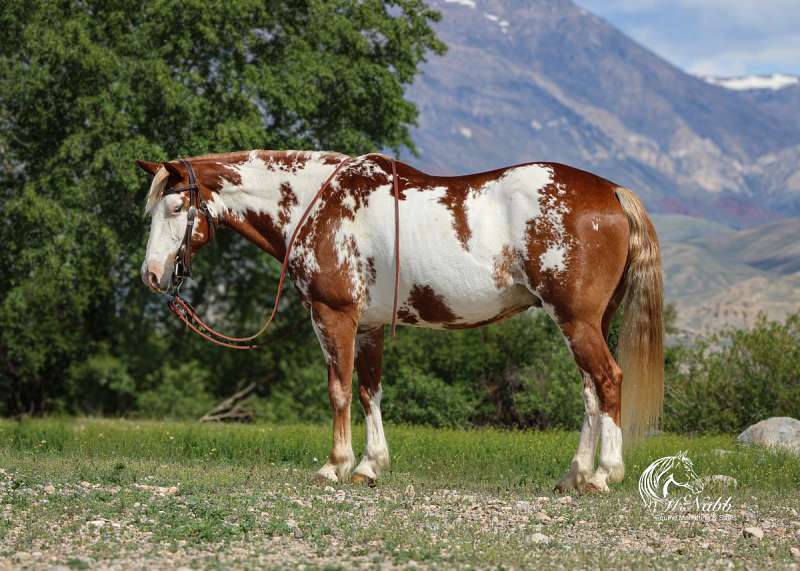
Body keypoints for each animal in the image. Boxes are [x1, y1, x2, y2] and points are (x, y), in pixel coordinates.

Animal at [137, 149, 664, 493]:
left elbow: (339, 389)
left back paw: (603, 475)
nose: (152, 275)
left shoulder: (334, 317)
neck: (319, 203)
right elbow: (370, 391)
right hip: (588, 323)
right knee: (591, 392)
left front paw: (335, 466)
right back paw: (573, 475)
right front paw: (370, 467)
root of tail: (612, 192)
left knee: (608, 380)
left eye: (177, 206)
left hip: (576, 321)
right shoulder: (369, 327)